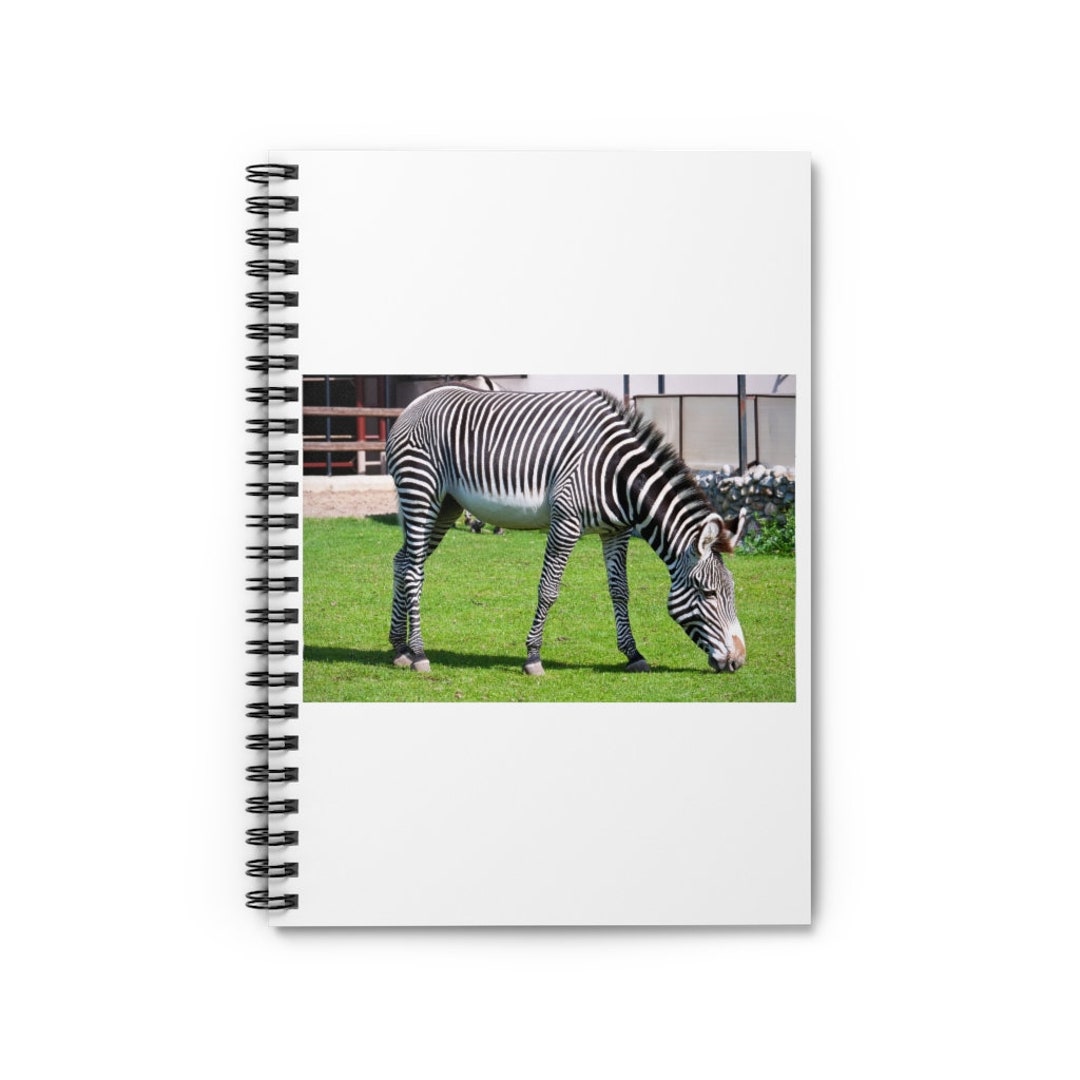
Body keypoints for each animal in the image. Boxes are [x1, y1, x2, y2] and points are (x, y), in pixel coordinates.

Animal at [385, 384, 748, 676]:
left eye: (732, 591)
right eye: (709, 593)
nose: (738, 661)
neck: (619, 475)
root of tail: (413, 405)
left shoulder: (616, 531)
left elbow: (620, 590)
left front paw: (633, 654)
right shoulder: (566, 523)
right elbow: (548, 589)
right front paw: (533, 657)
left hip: (445, 505)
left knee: (402, 561)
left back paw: (399, 648)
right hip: (421, 491)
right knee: (414, 570)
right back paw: (419, 653)